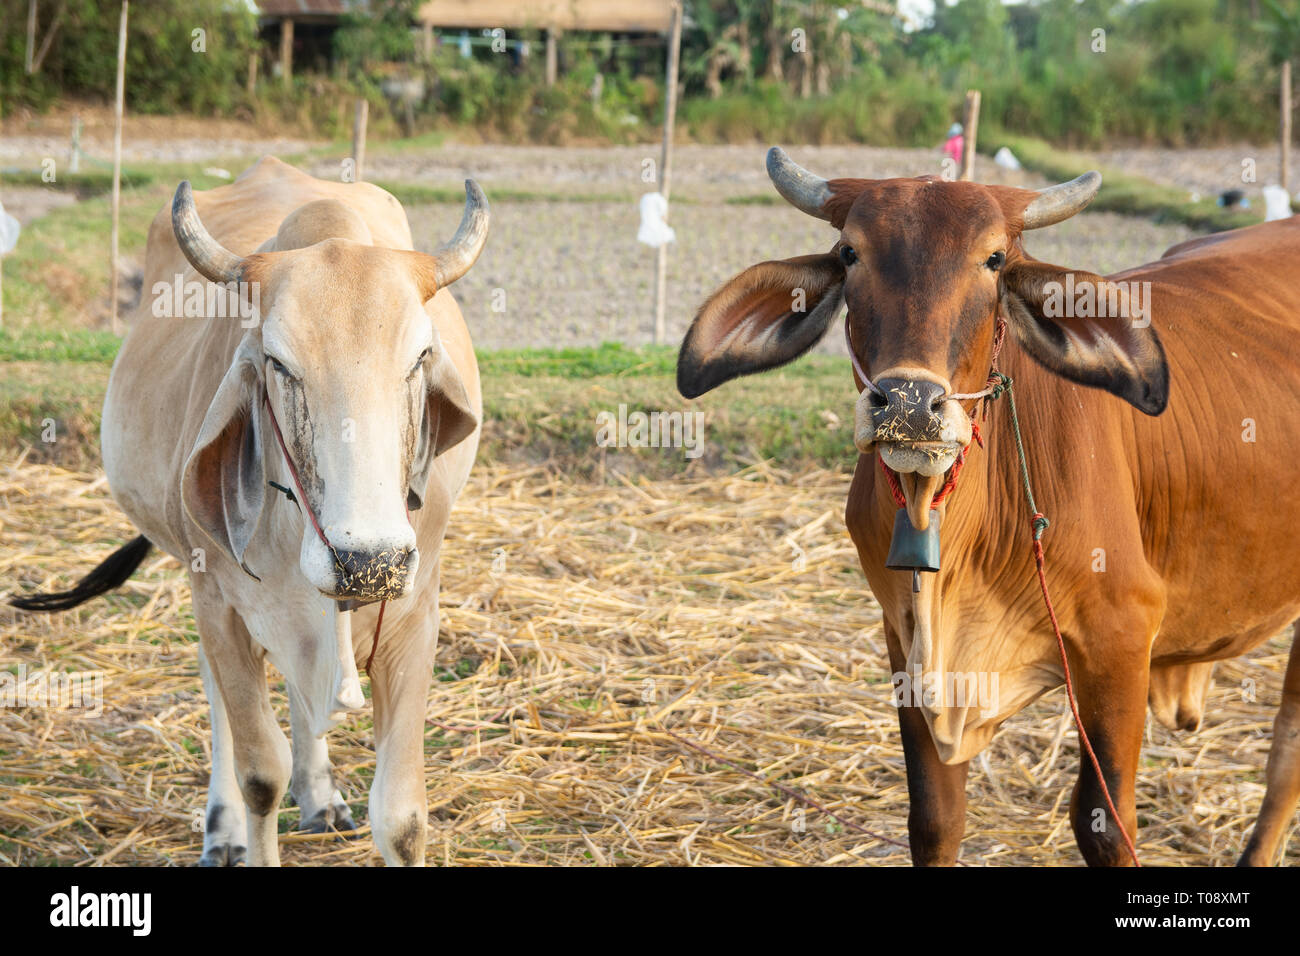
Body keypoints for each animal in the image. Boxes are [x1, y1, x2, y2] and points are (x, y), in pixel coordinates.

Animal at [10, 157, 487, 866]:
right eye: (278, 364)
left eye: (420, 358)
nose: (368, 561)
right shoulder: (221, 604)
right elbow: (261, 772)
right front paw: (247, 822)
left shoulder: (414, 609)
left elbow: (401, 816)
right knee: (219, 704)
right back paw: (224, 830)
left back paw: (322, 798)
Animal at [676, 147, 1300, 866]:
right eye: (851, 252)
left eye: (995, 259)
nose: (910, 403)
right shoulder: (905, 642)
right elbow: (934, 819)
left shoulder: (1120, 641)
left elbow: (1104, 822)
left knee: (1286, 753)